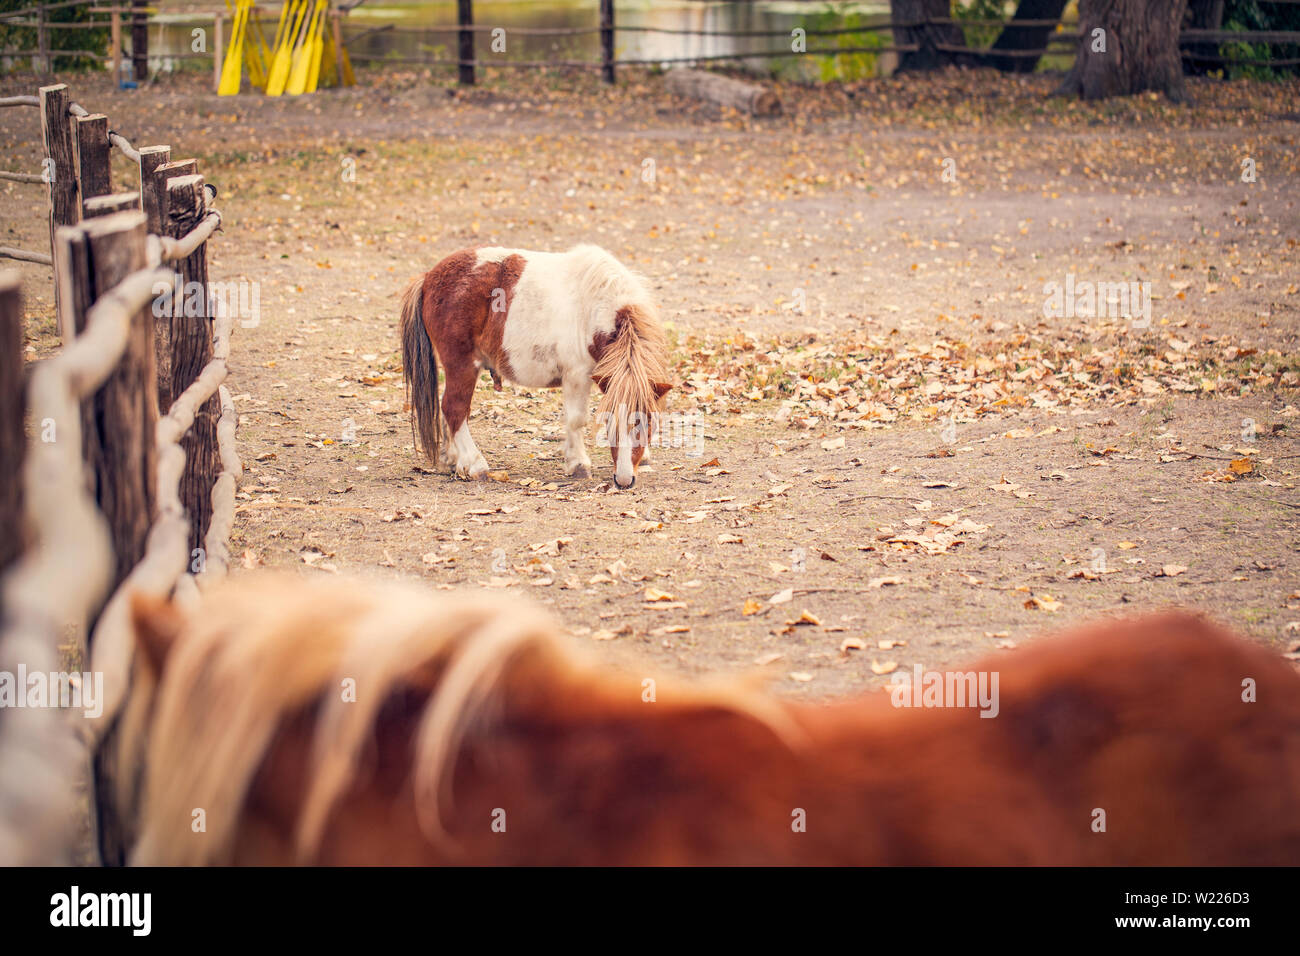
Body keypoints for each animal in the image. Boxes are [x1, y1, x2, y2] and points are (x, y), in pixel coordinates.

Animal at [400, 245, 672, 489]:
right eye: (609, 423)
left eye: (647, 422)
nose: (624, 480)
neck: (595, 308)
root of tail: (428, 278)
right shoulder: (577, 375)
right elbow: (576, 420)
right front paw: (578, 464)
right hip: (462, 365)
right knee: (454, 408)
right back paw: (476, 465)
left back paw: (454, 461)